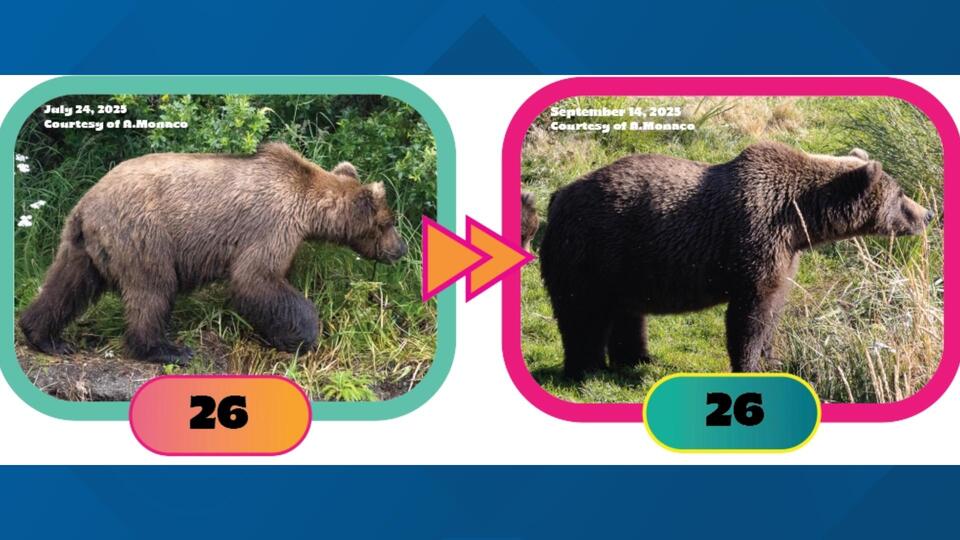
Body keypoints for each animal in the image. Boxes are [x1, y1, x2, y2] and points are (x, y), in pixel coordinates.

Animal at [18, 142, 407, 365]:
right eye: (387, 222)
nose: (400, 249)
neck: (308, 206)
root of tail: (87, 204)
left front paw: (281, 334)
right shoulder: (270, 226)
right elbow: (256, 280)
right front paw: (305, 334)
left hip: (82, 245)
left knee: (66, 285)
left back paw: (45, 337)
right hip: (144, 235)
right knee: (152, 291)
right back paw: (167, 350)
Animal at [538, 141, 933, 379]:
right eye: (901, 194)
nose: (927, 214)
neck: (801, 218)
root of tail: (558, 195)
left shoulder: (786, 255)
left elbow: (774, 309)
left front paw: (772, 359)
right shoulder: (755, 240)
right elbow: (749, 314)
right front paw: (748, 363)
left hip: (625, 265)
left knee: (626, 313)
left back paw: (637, 359)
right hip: (590, 250)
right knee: (582, 314)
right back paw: (586, 369)